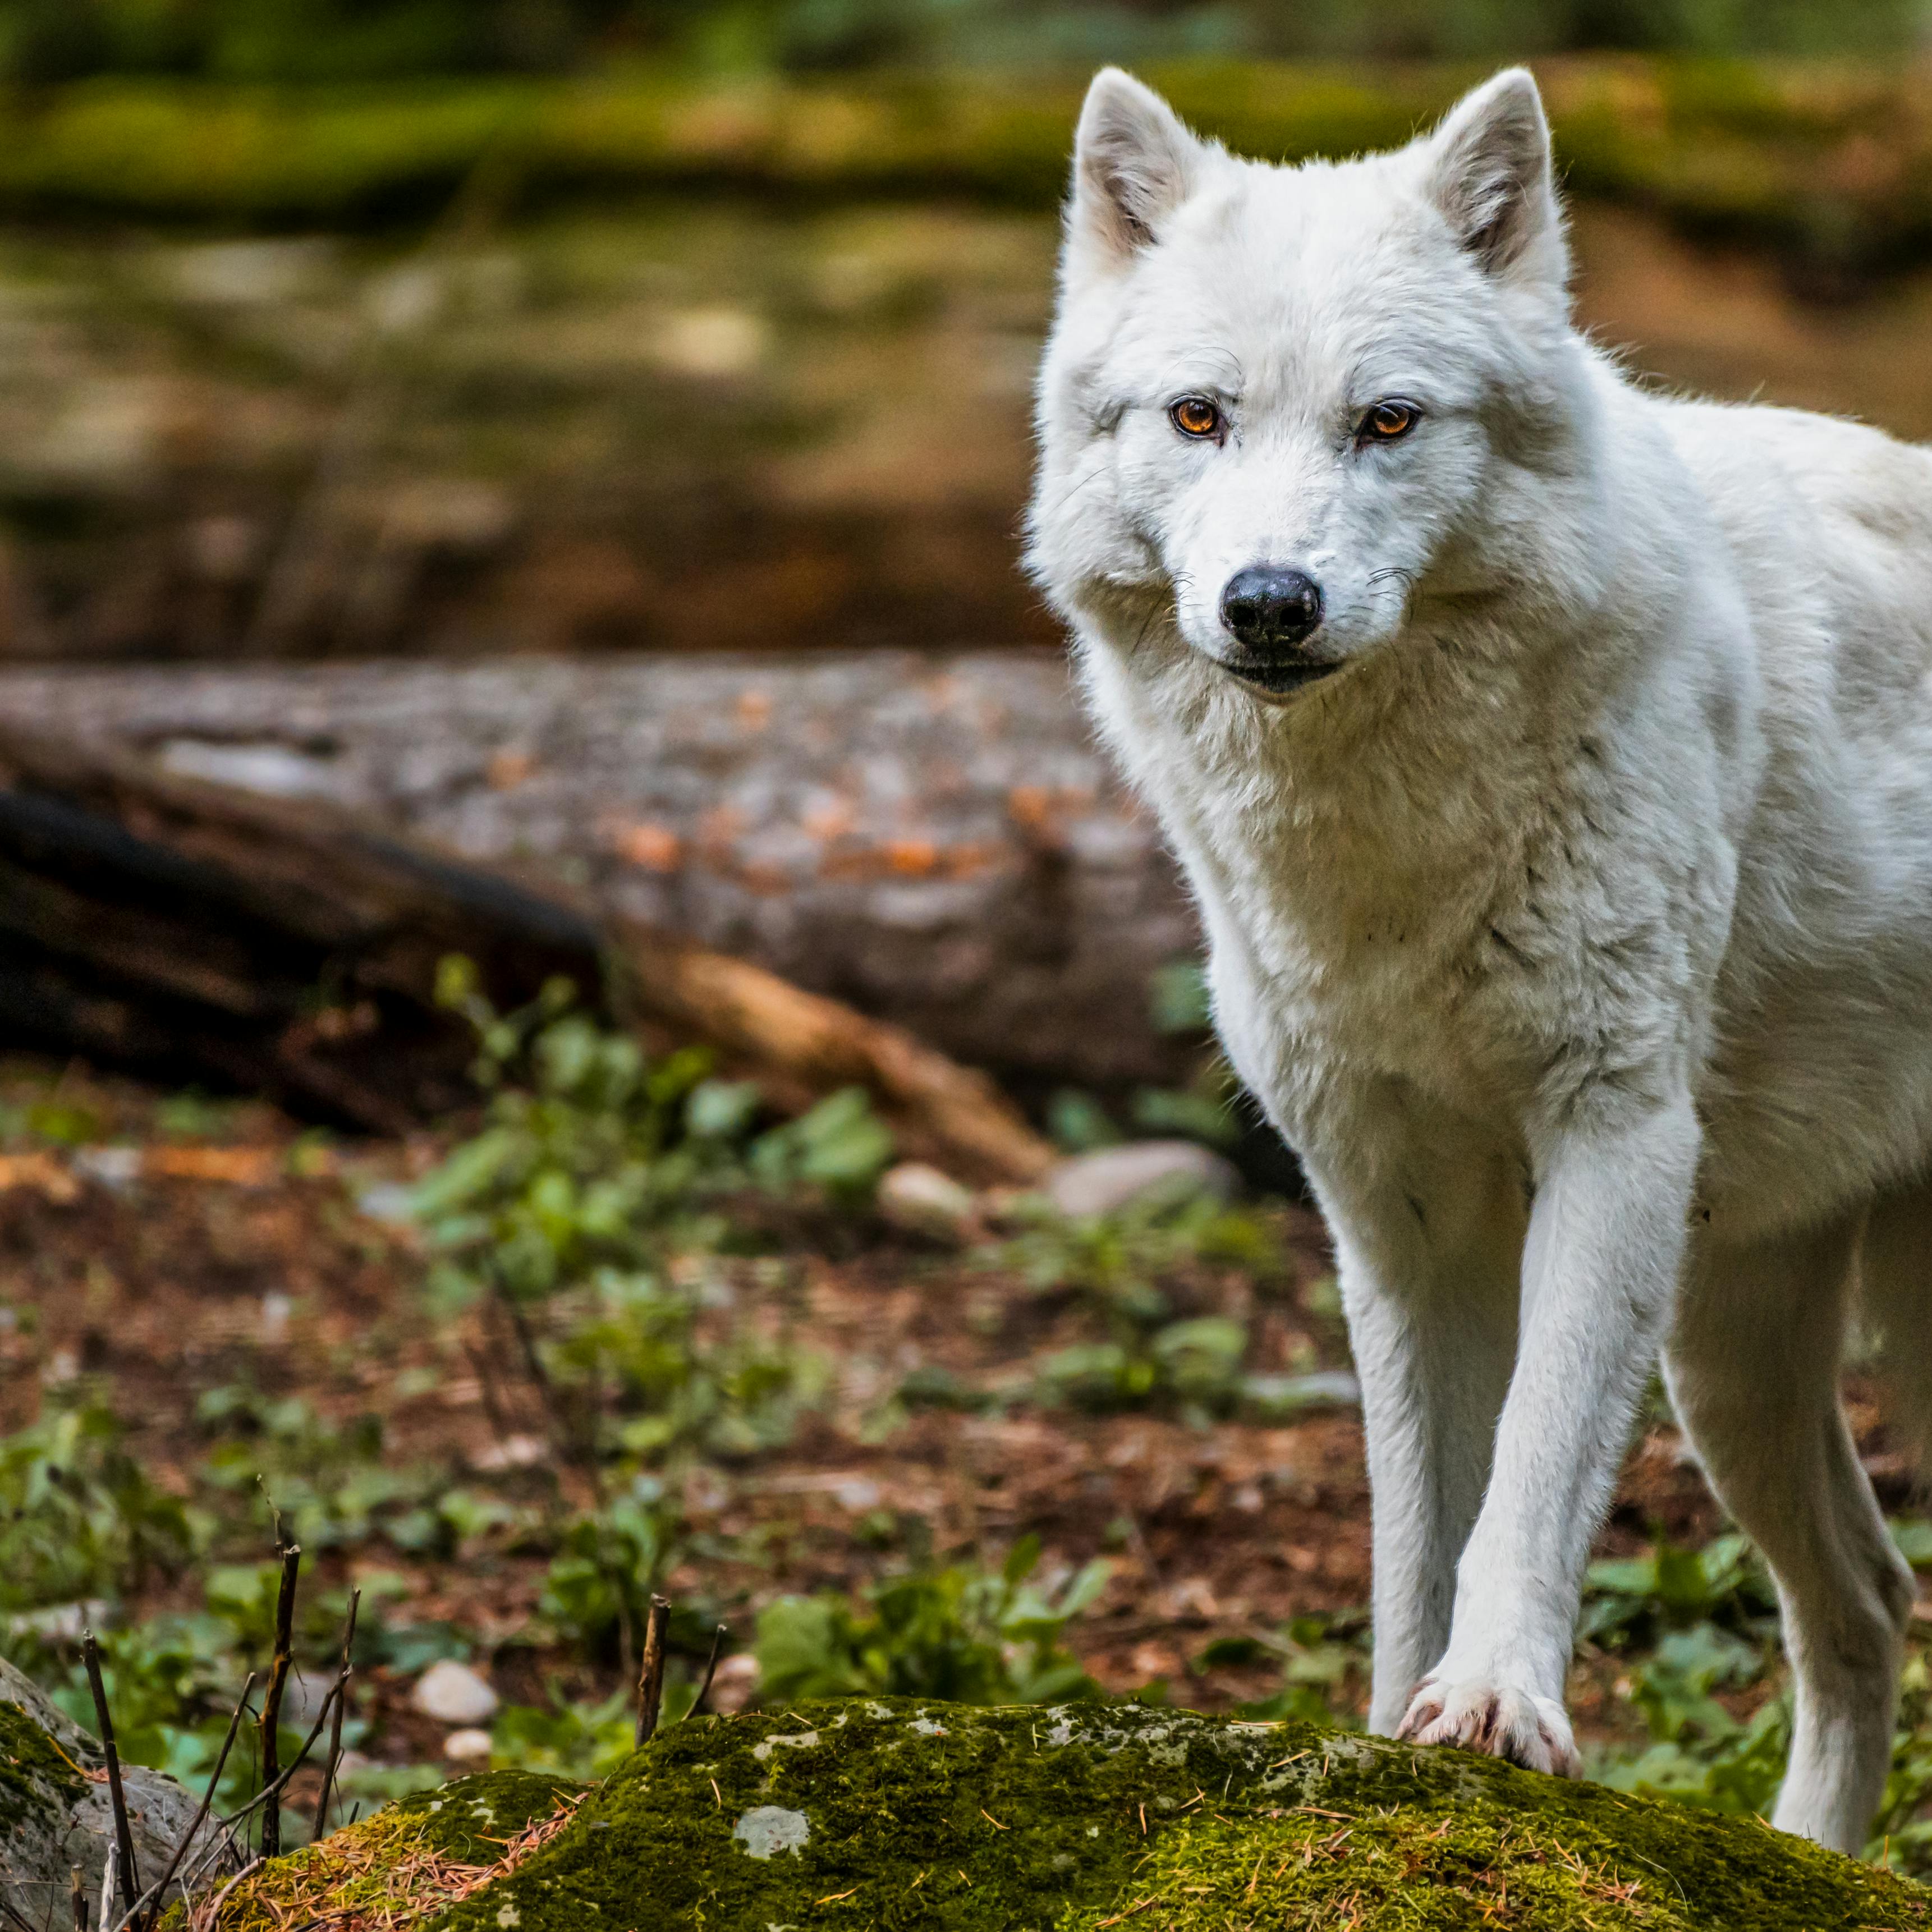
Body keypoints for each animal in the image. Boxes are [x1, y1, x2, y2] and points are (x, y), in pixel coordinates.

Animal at [1026, 63, 1932, 1852]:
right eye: (1196, 417)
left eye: (1387, 420)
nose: (1270, 603)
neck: (1384, 855)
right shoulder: (1392, 1209)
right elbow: (1412, 1526)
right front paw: (1390, 1739)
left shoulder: (1613, 1132)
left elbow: (1525, 1469)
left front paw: (1497, 1709)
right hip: (1728, 1360)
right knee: (1865, 1600)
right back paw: (1811, 1854)